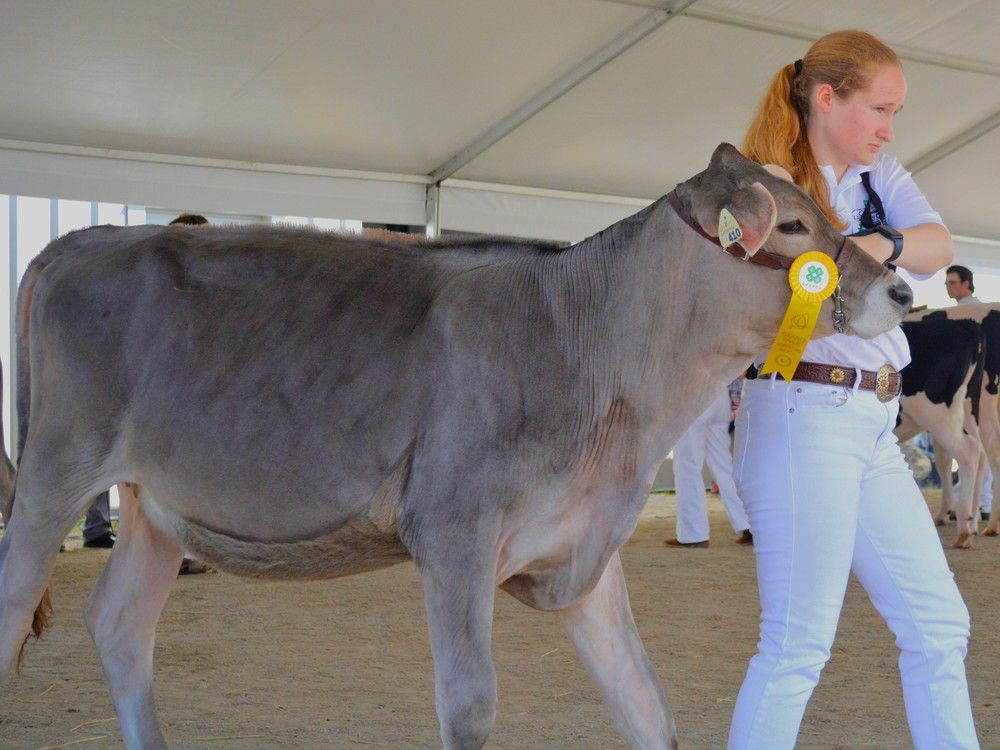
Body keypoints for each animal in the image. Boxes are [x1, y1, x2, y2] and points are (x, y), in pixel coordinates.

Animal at [0, 144, 911, 750]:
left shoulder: (582, 546)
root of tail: (85, 239)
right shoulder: (453, 533)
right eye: (791, 224)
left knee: (120, 627)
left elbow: (646, 703)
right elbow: (471, 706)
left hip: (156, 505)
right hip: (53, 474)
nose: (902, 289)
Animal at [896, 317, 984, 547]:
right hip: (970, 409)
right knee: (979, 455)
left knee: (968, 452)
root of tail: (965, 324)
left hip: (937, 413)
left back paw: (964, 529)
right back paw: (971, 522)